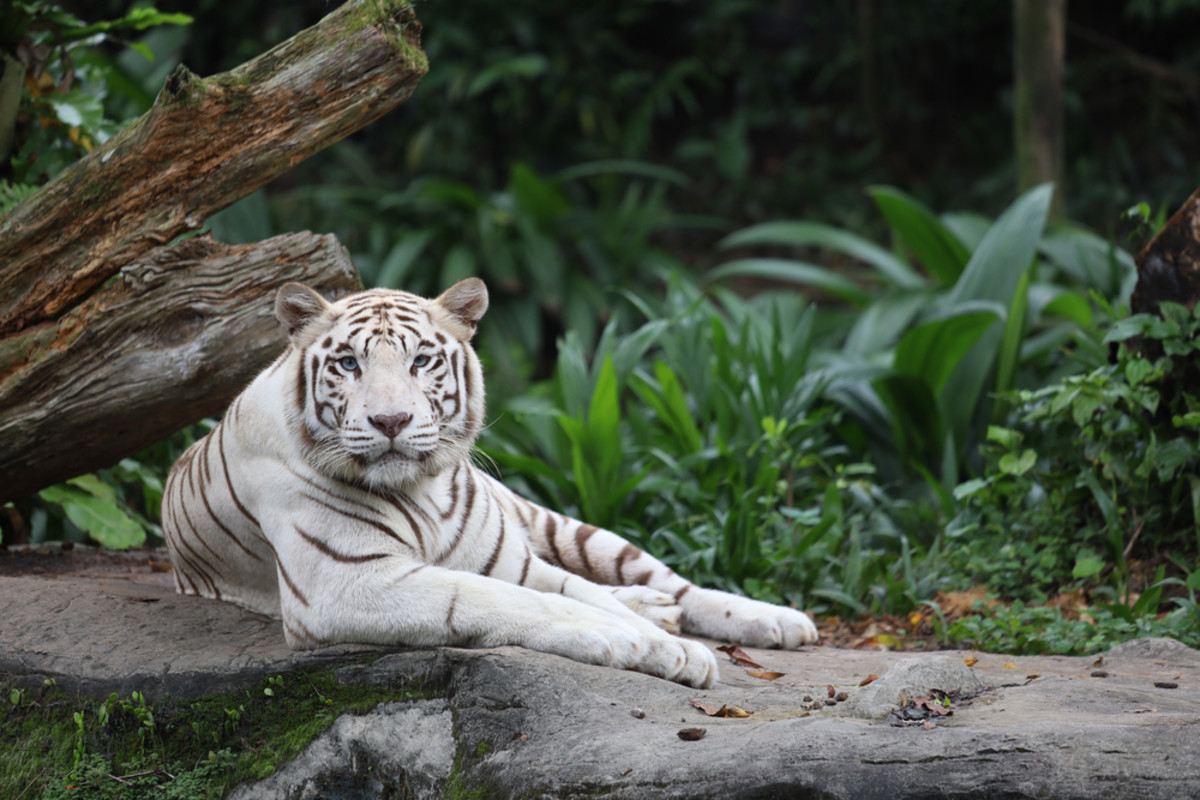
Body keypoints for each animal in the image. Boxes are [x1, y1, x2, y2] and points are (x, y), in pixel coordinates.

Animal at [161, 279, 818, 688]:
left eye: (421, 361)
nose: (391, 421)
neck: (421, 490)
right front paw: (642, 645)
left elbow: (583, 593)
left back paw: (775, 620)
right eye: (349, 364)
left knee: (668, 582)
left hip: (566, 527)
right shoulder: (345, 581)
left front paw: (670, 645)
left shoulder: (515, 561)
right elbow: (517, 601)